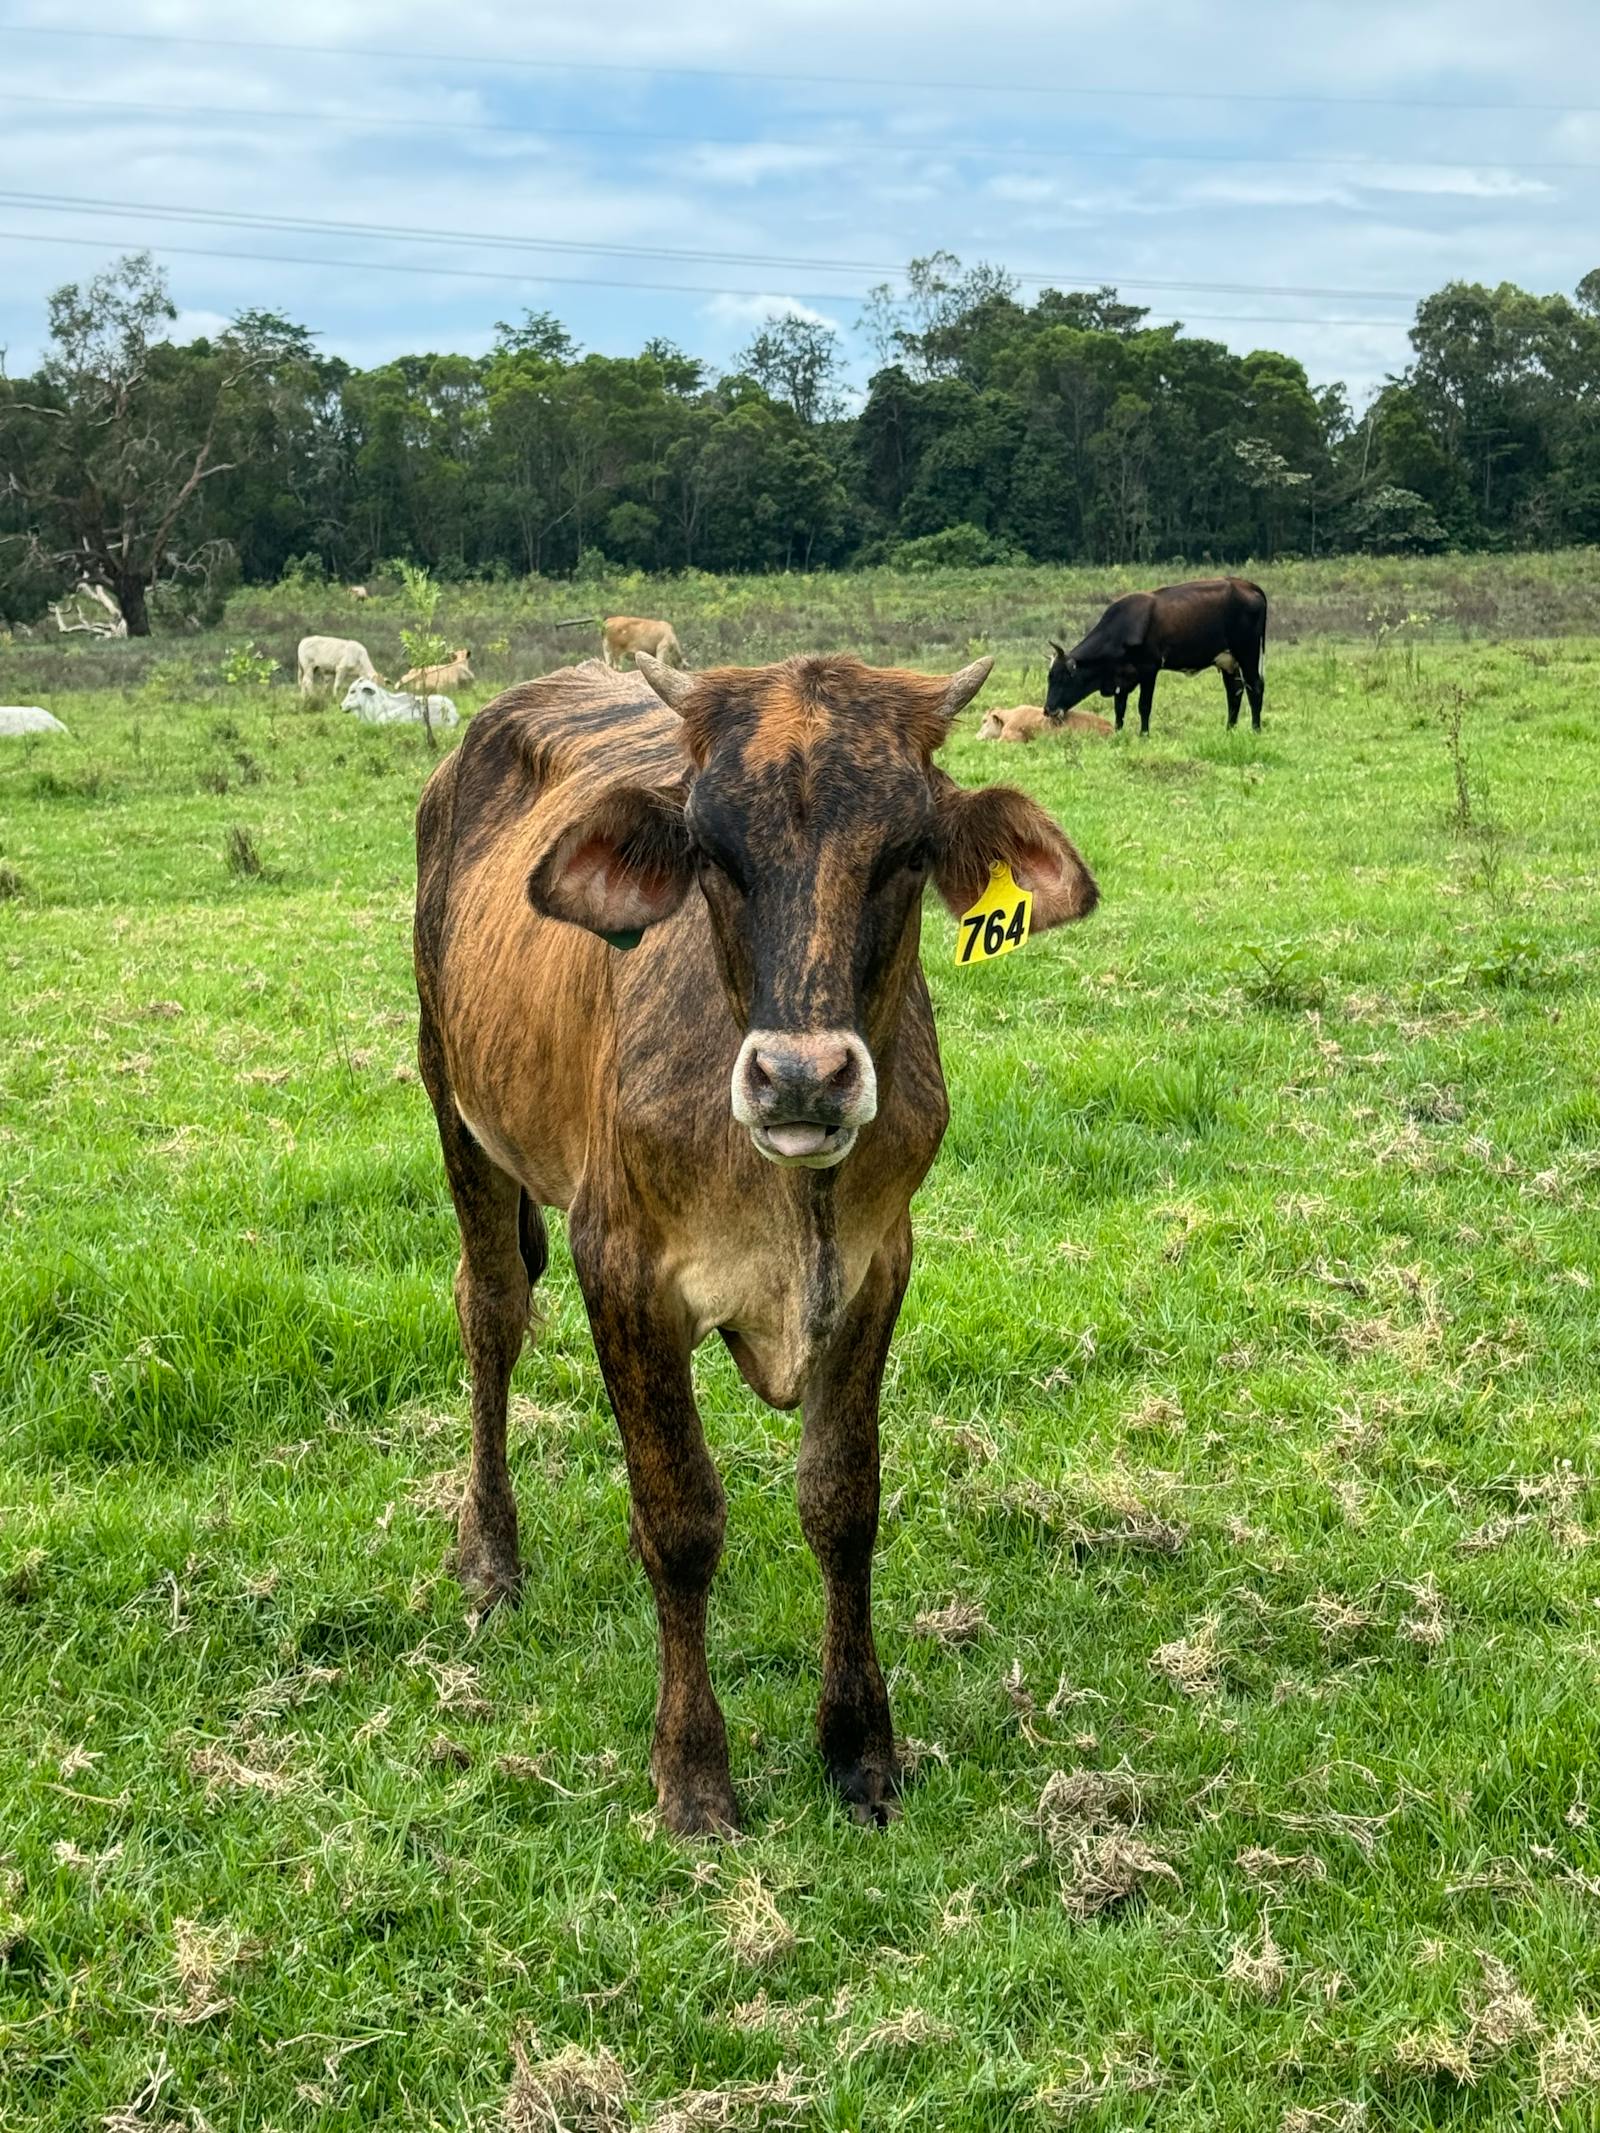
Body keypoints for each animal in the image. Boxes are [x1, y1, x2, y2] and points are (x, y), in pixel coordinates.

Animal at [413, 654, 1097, 1834]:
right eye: (711, 852)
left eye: (906, 851)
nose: (801, 1078)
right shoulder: (620, 1267)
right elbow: (681, 1519)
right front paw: (692, 1774)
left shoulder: (876, 1266)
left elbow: (841, 1502)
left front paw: (859, 1749)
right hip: (453, 1105)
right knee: (490, 1312)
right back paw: (489, 1558)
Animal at [1045, 577, 1268, 735]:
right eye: (1050, 677)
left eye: (1064, 678)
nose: (1048, 710)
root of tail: (1249, 586)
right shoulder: (1121, 677)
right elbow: (1119, 707)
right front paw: (1118, 732)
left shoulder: (1149, 669)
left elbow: (1144, 705)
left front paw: (1144, 734)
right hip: (1228, 661)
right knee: (1234, 692)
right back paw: (1229, 730)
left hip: (1248, 652)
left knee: (1255, 687)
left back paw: (1255, 730)